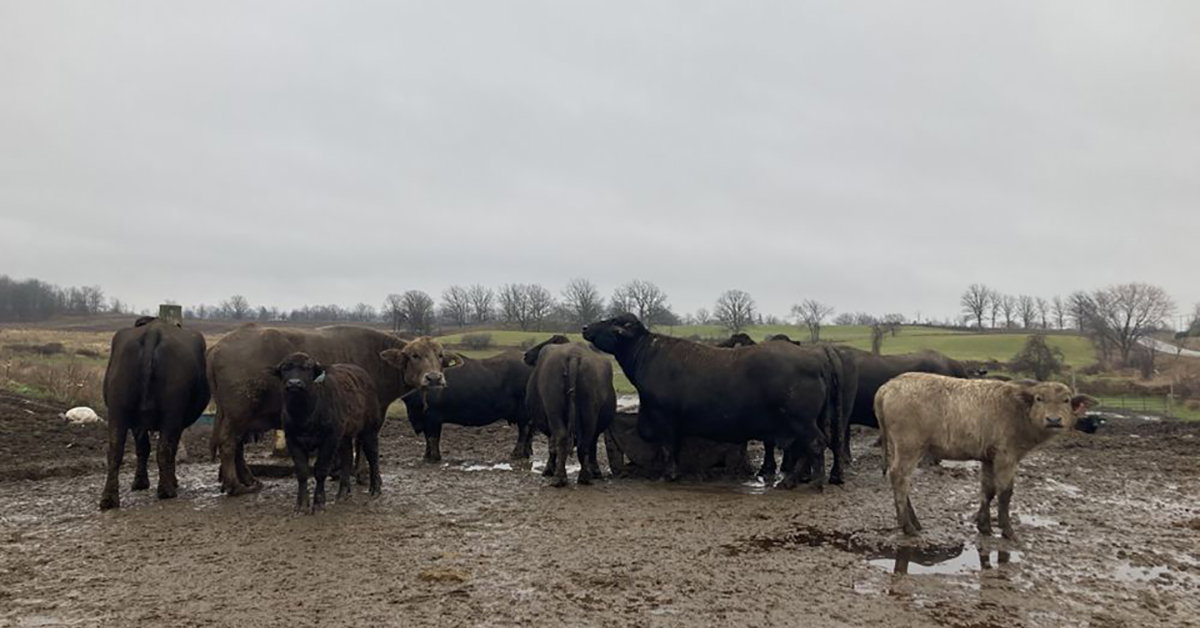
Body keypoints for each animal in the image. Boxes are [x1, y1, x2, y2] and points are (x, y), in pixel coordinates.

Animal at [100, 317, 209, 510]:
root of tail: (152, 333)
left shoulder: (138, 424)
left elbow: (142, 448)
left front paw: (140, 482)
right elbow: (167, 449)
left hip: (117, 411)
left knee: (115, 450)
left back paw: (109, 498)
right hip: (171, 414)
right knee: (165, 449)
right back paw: (167, 490)